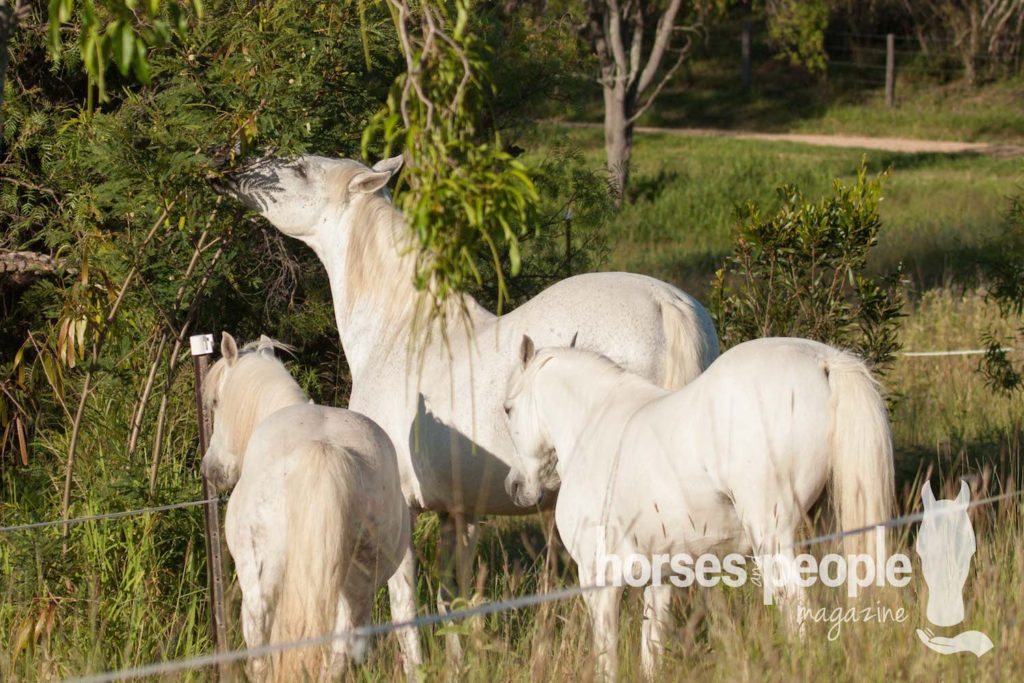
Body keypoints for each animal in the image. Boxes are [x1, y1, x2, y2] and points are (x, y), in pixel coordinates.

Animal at [201, 333, 412, 681]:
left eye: (216, 403)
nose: (211, 469)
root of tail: (322, 447)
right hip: (357, 588)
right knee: (340, 651)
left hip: (259, 591)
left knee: (260, 650)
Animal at [212, 152, 720, 655]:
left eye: (301, 168)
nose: (235, 175)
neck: (399, 331)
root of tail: (666, 303)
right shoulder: (458, 513)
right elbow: (450, 604)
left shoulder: (402, 509)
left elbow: (404, 609)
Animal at [503, 336, 895, 679]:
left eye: (508, 409)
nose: (515, 487)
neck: (593, 424)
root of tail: (824, 361)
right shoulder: (661, 575)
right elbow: (652, 644)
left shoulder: (598, 579)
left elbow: (606, 654)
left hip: (772, 538)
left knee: (796, 603)